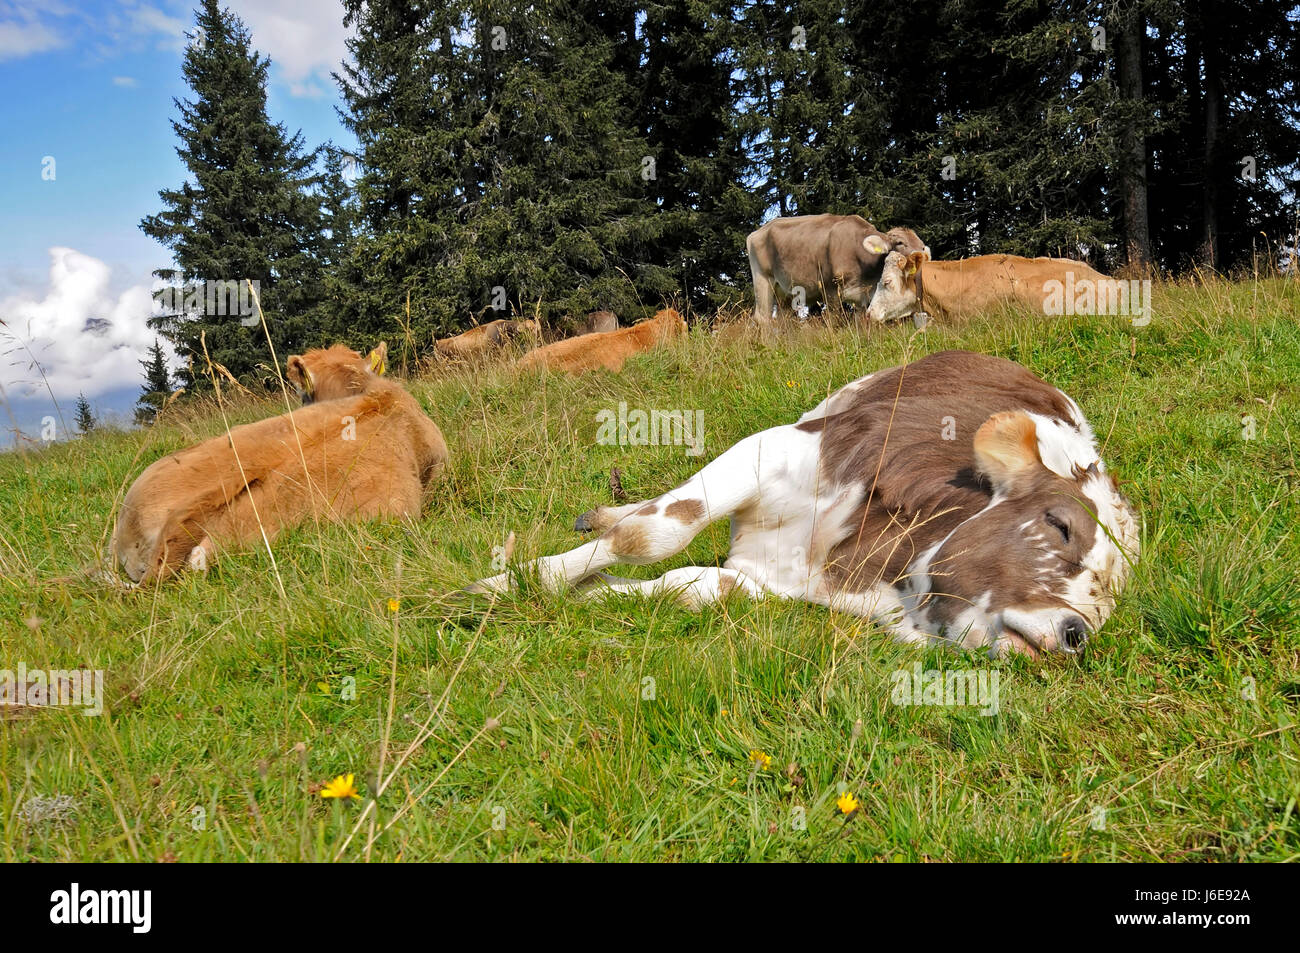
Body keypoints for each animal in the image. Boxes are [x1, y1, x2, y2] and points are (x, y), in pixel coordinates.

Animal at [470, 350, 1139, 658]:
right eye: (1060, 525)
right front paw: (503, 585)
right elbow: (655, 535)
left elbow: (687, 587)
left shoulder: (768, 580)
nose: (1077, 634)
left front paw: (591, 594)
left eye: (1106, 608)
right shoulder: (779, 448)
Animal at [746, 214, 930, 324]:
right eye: (900, 242)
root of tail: (758, 231)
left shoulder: (862, 298)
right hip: (762, 279)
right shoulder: (830, 290)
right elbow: (833, 320)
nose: (924, 255)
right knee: (762, 317)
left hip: (784, 290)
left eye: (921, 243)